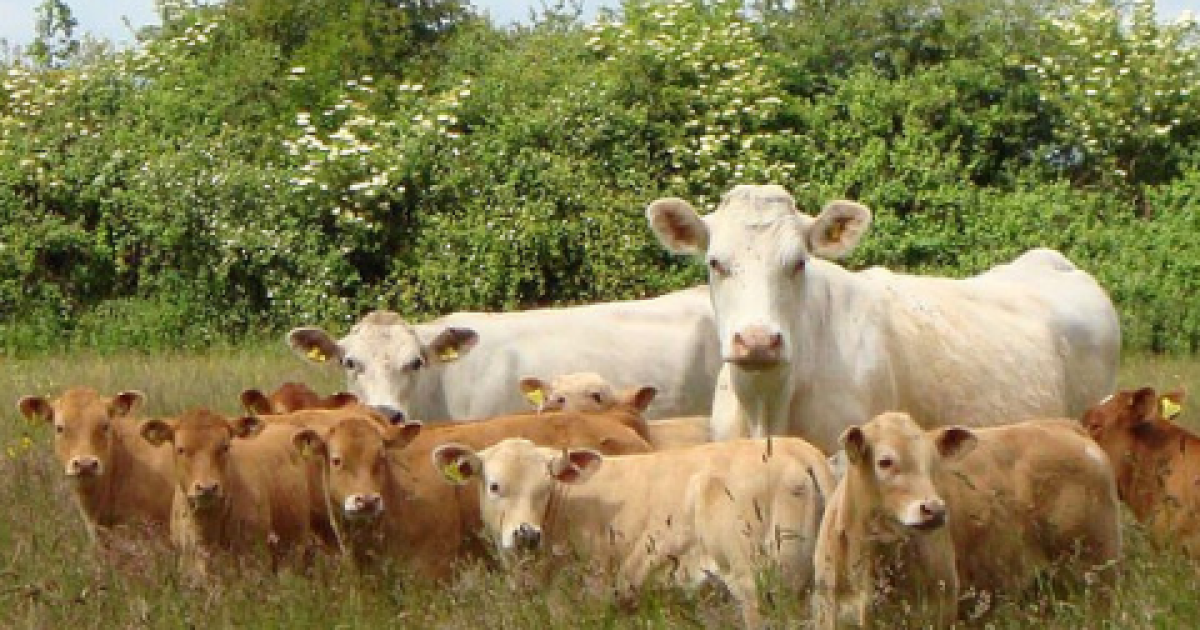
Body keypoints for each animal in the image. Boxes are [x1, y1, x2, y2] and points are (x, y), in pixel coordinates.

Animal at [434, 436, 834, 628]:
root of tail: (794, 446)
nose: (526, 535)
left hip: (759, 584)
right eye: (494, 486)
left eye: (543, 489)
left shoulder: (578, 597)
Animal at [812, 411, 1121, 629]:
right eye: (885, 462)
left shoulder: (937, 609)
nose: (934, 509)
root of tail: (1065, 426)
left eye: (934, 464)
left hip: (1096, 575)